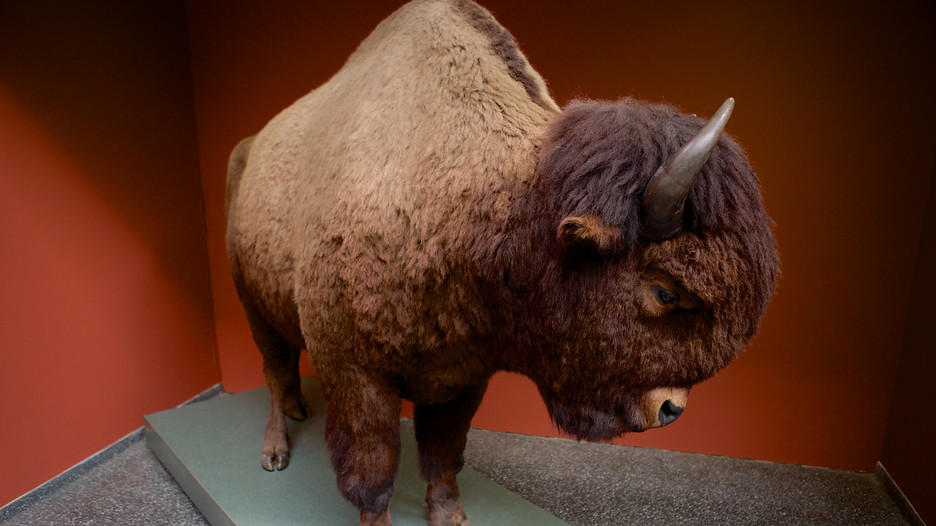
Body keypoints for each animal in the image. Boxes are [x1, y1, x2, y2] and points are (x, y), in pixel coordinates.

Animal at [225, 0, 779, 524]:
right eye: (665, 290)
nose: (670, 408)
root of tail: (249, 148)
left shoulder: (462, 376)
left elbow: (443, 453)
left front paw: (450, 514)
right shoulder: (355, 373)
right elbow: (374, 469)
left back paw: (298, 411)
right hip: (250, 305)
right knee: (273, 372)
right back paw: (274, 451)